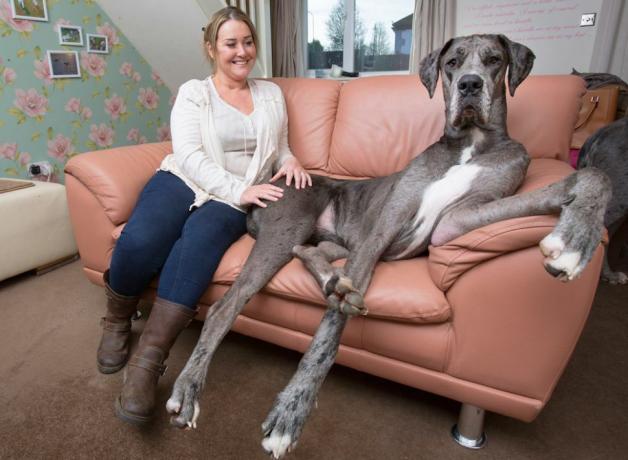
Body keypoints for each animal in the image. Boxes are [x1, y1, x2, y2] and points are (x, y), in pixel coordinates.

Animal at [164, 35, 612, 456]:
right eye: (452, 63)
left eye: (494, 60)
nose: (469, 84)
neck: (468, 144)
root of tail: (264, 187)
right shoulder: (381, 230)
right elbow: (327, 336)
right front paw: (292, 411)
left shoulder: (456, 221)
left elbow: (590, 175)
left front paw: (576, 238)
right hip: (290, 228)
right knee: (223, 308)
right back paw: (188, 390)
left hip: (333, 240)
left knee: (308, 254)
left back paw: (333, 282)